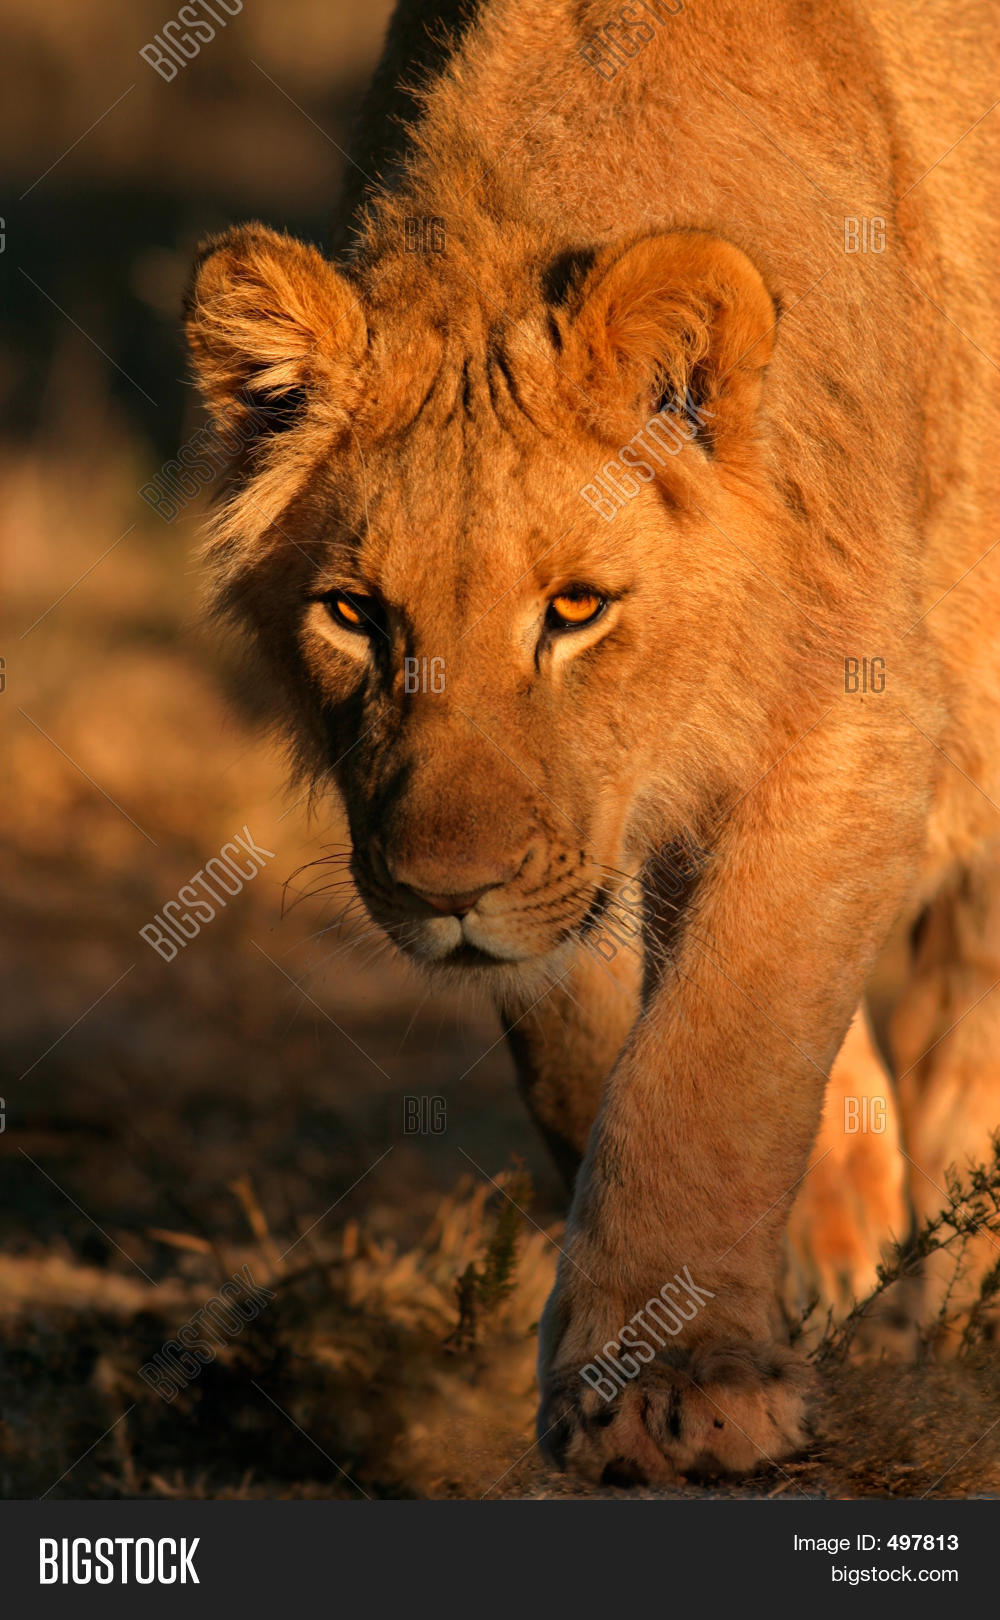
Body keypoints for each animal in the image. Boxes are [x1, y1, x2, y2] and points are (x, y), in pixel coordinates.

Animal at [184, 0, 1000, 1485]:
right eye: (354, 615)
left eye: (573, 610)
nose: (443, 893)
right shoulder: (566, 854)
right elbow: (589, 1038)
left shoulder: (860, 702)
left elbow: (721, 1038)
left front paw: (681, 1388)